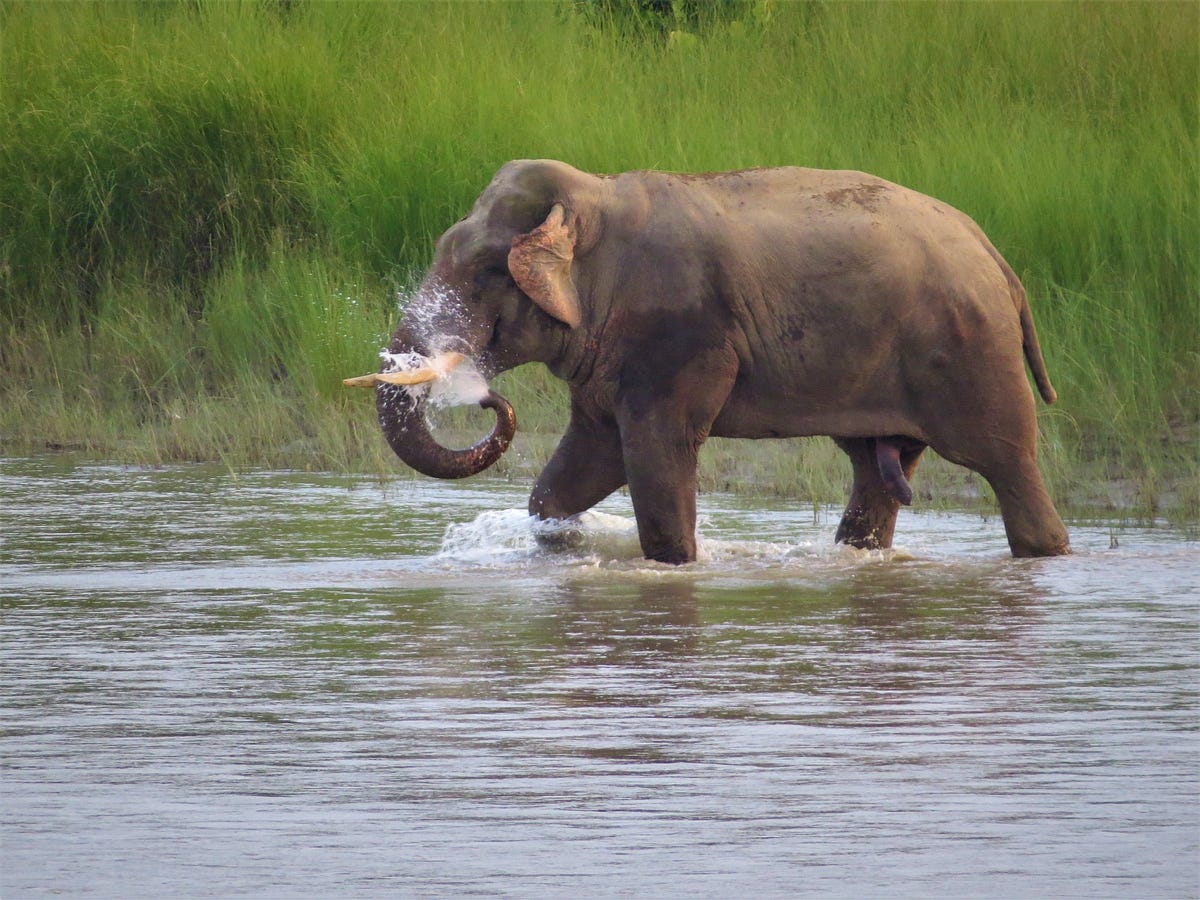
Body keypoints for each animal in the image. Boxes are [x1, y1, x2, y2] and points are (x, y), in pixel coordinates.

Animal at [346, 159, 1070, 564]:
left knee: (1005, 462)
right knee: (875, 472)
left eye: (484, 273)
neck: (596, 200)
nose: (485, 397)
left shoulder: (676, 335)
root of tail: (996, 257)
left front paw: (673, 565)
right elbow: (581, 466)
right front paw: (563, 544)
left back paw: (1045, 552)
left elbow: (656, 455)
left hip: (972, 352)